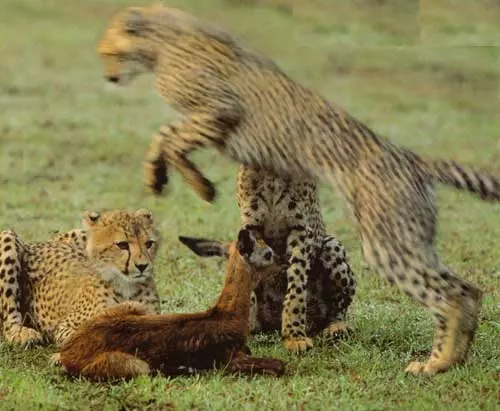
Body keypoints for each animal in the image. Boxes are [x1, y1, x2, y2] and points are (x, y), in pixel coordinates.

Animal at [0, 209, 160, 348]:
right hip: (7, 236)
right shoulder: (64, 326)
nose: (143, 266)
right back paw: (22, 334)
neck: (127, 286)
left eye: (149, 244)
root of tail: (38, 243)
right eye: (122, 245)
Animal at [238, 166, 356, 352]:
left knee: (338, 310)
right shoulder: (250, 230)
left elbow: (297, 284)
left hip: (331, 246)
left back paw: (336, 327)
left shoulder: (301, 230)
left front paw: (294, 336)